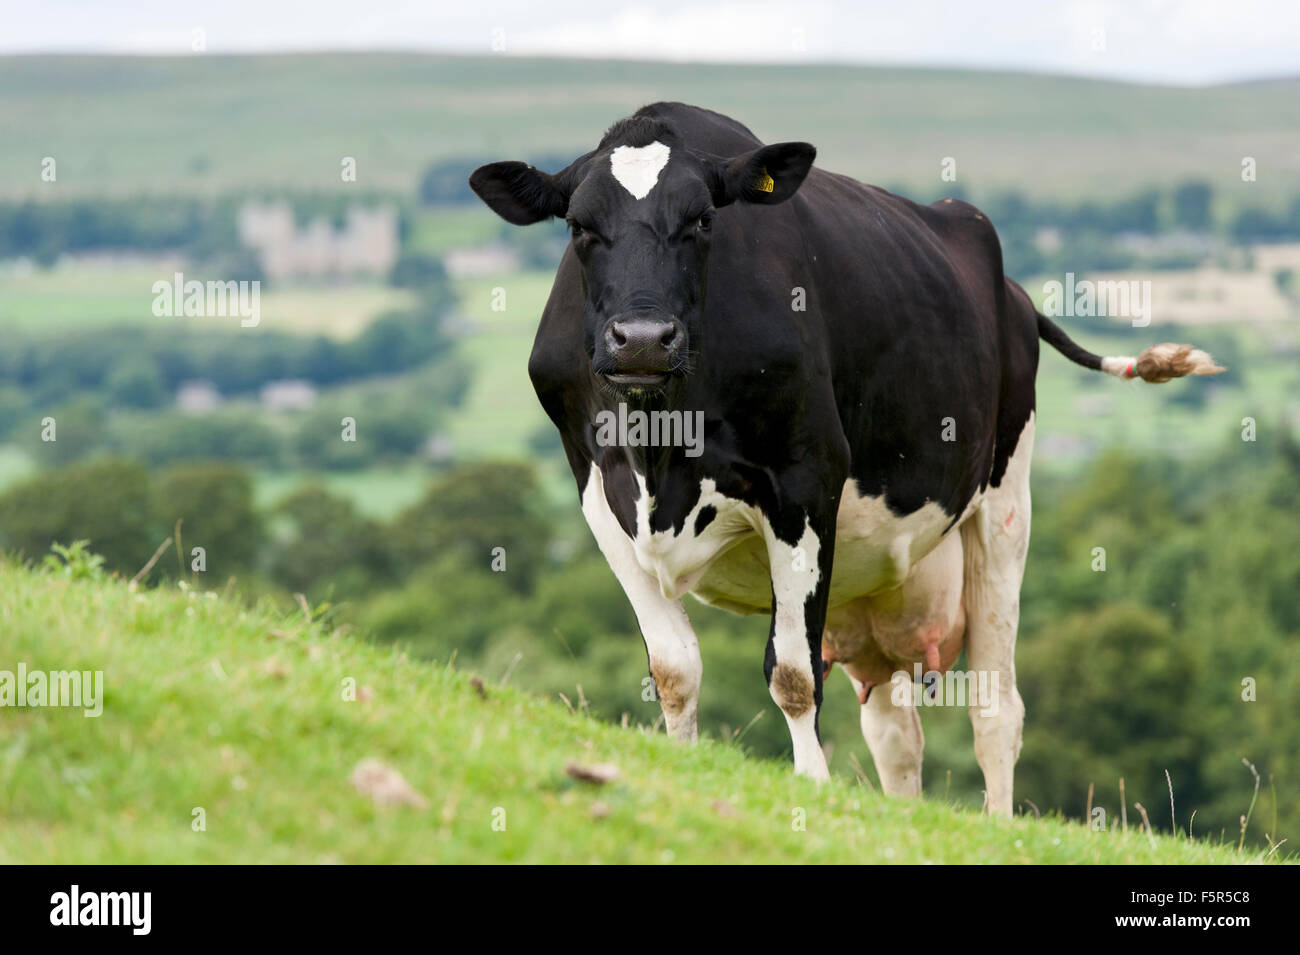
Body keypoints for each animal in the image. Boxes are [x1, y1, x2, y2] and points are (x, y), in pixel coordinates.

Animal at [469, 102, 1222, 815]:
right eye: (579, 226)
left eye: (703, 221)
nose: (644, 338)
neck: (662, 445)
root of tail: (1012, 290)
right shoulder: (599, 492)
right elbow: (676, 670)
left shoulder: (803, 480)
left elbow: (793, 674)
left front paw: (811, 784)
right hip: (869, 593)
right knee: (897, 733)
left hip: (1005, 504)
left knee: (995, 709)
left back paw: (998, 822)